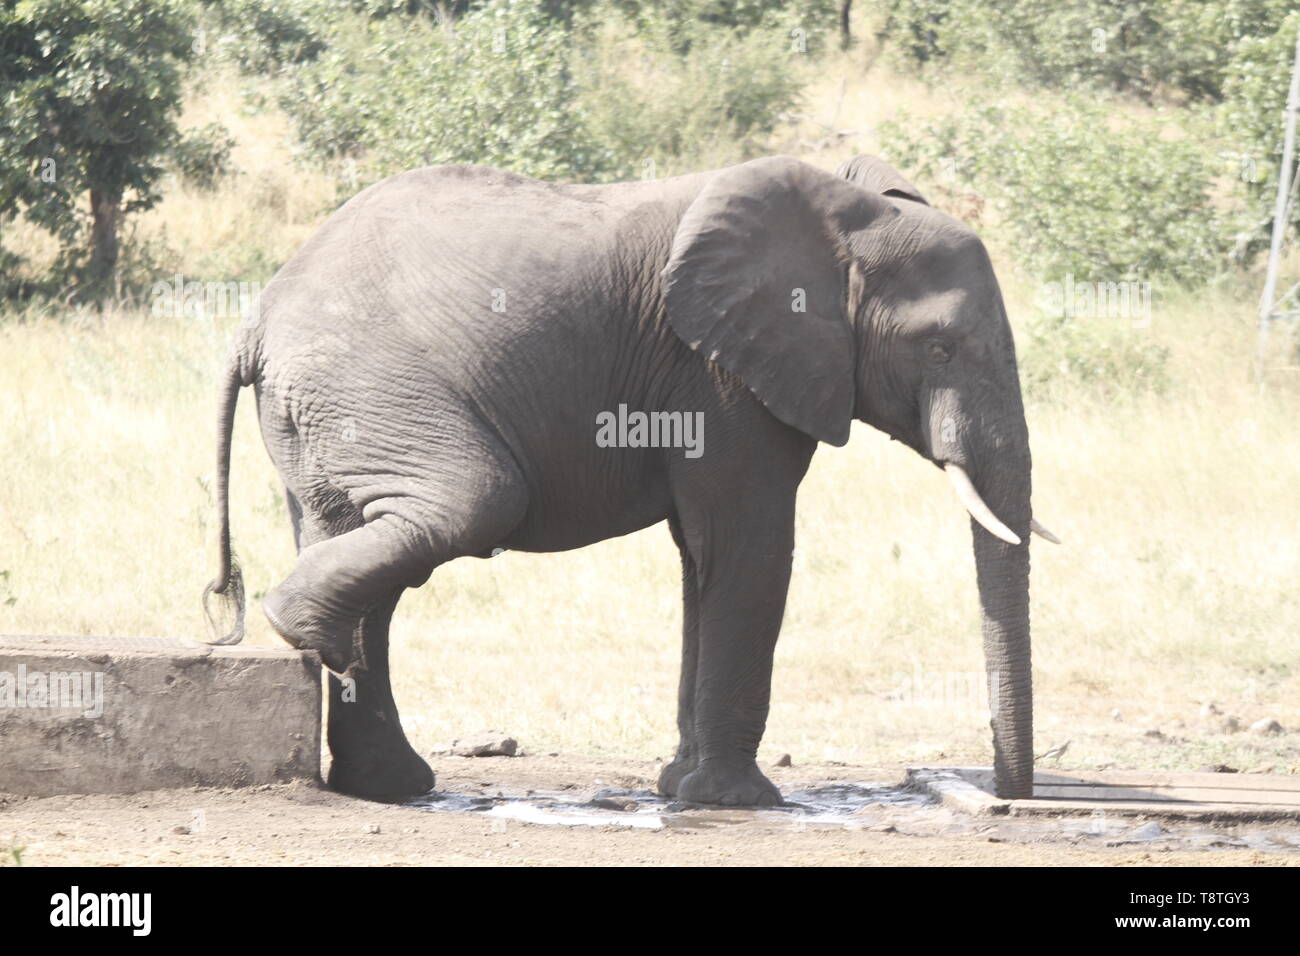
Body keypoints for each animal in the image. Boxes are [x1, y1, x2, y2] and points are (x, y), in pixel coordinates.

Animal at [203, 153, 1056, 806]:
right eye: (940, 348)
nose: (1008, 796)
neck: (841, 220)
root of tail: (258, 315)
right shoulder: (721, 375)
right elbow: (747, 546)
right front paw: (735, 802)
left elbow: (700, 556)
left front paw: (679, 787)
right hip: (365, 388)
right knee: (473, 498)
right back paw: (298, 628)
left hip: (321, 413)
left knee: (357, 535)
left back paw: (383, 773)